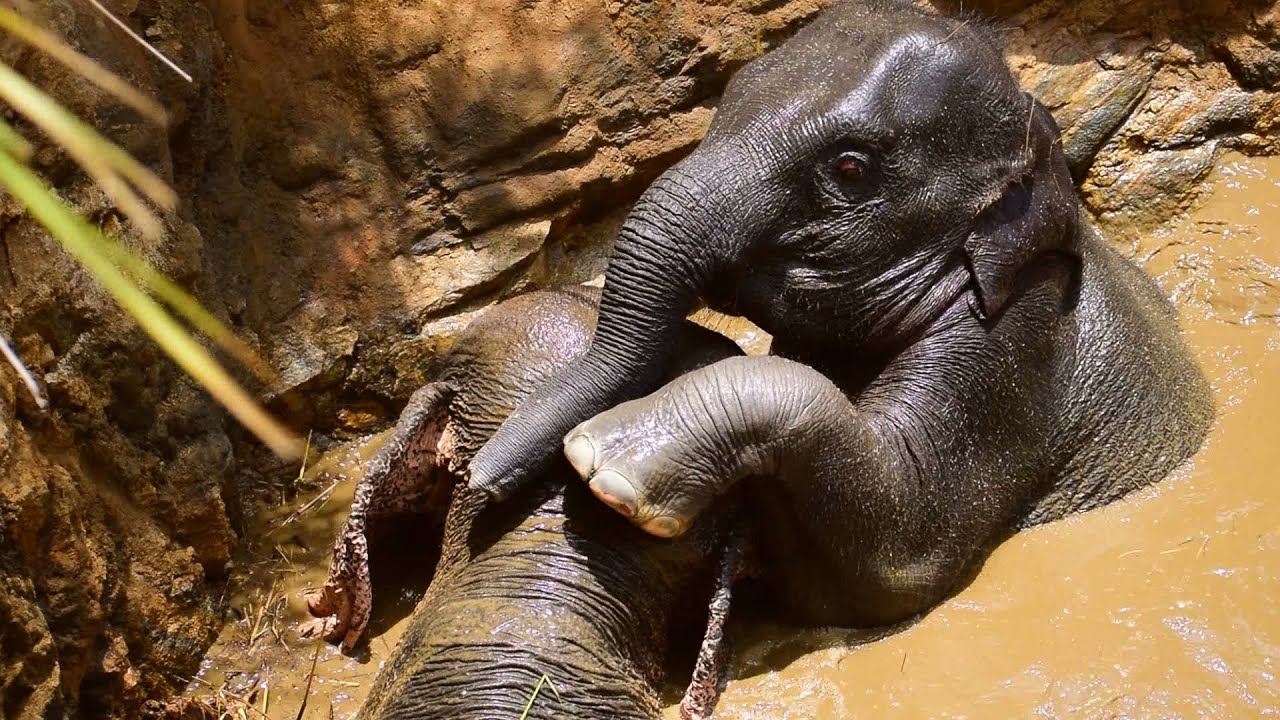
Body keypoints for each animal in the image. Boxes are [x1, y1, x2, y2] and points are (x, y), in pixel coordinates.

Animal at [466, 0, 1214, 629]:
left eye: (850, 169)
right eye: (726, 99)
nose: (479, 479)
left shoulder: (1016, 343)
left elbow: (897, 551)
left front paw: (606, 462)